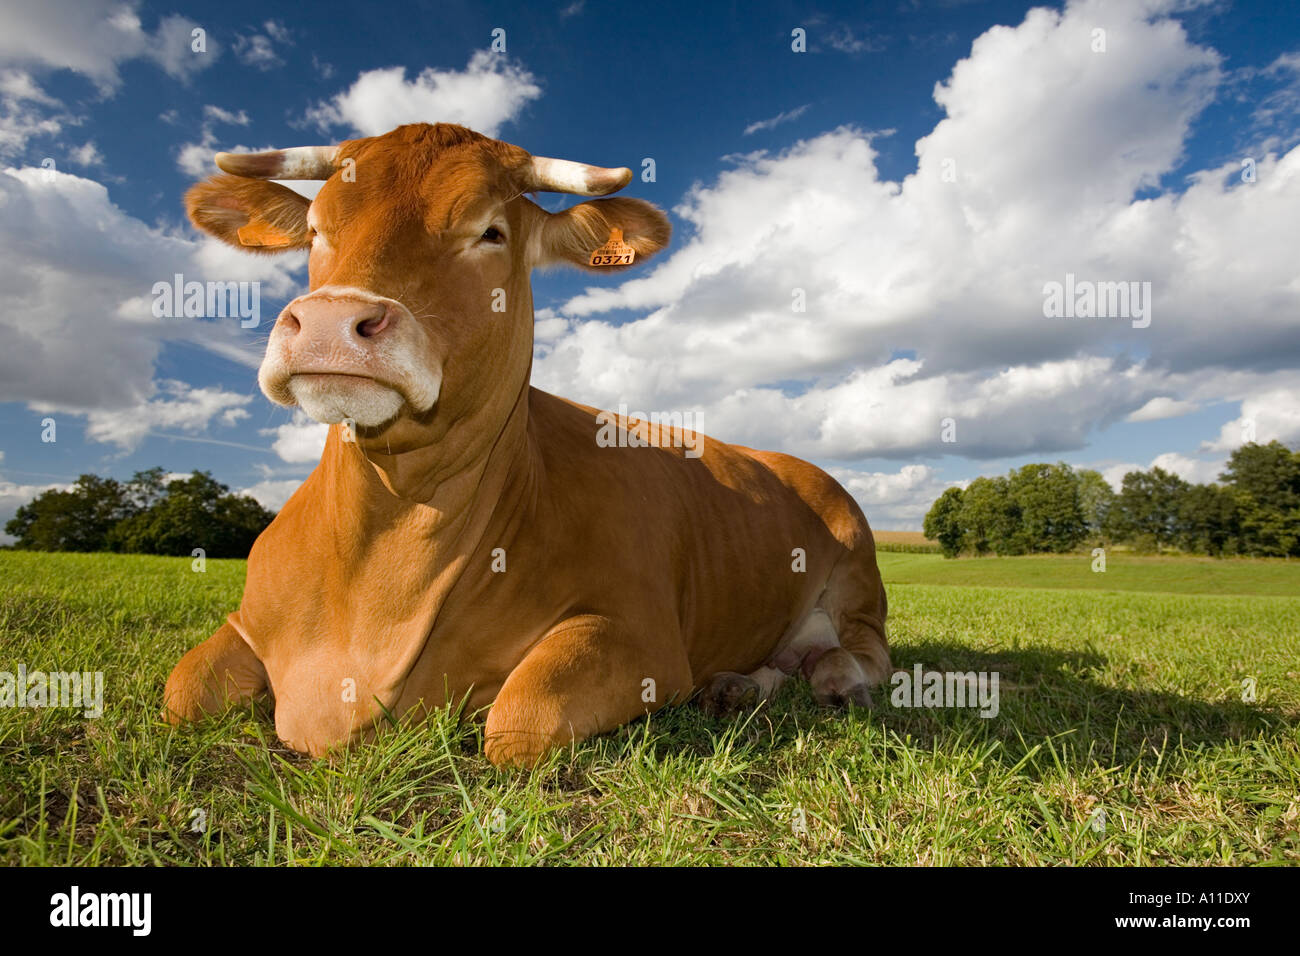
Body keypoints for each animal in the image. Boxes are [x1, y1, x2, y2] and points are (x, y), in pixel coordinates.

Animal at [163, 123, 890, 767]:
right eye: (315, 229)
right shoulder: (246, 621)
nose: (327, 325)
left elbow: (518, 721)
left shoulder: (644, 639)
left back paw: (832, 679)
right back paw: (739, 685)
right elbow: (182, 692)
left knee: (864, 654)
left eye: (491, 232)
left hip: (859, 576)